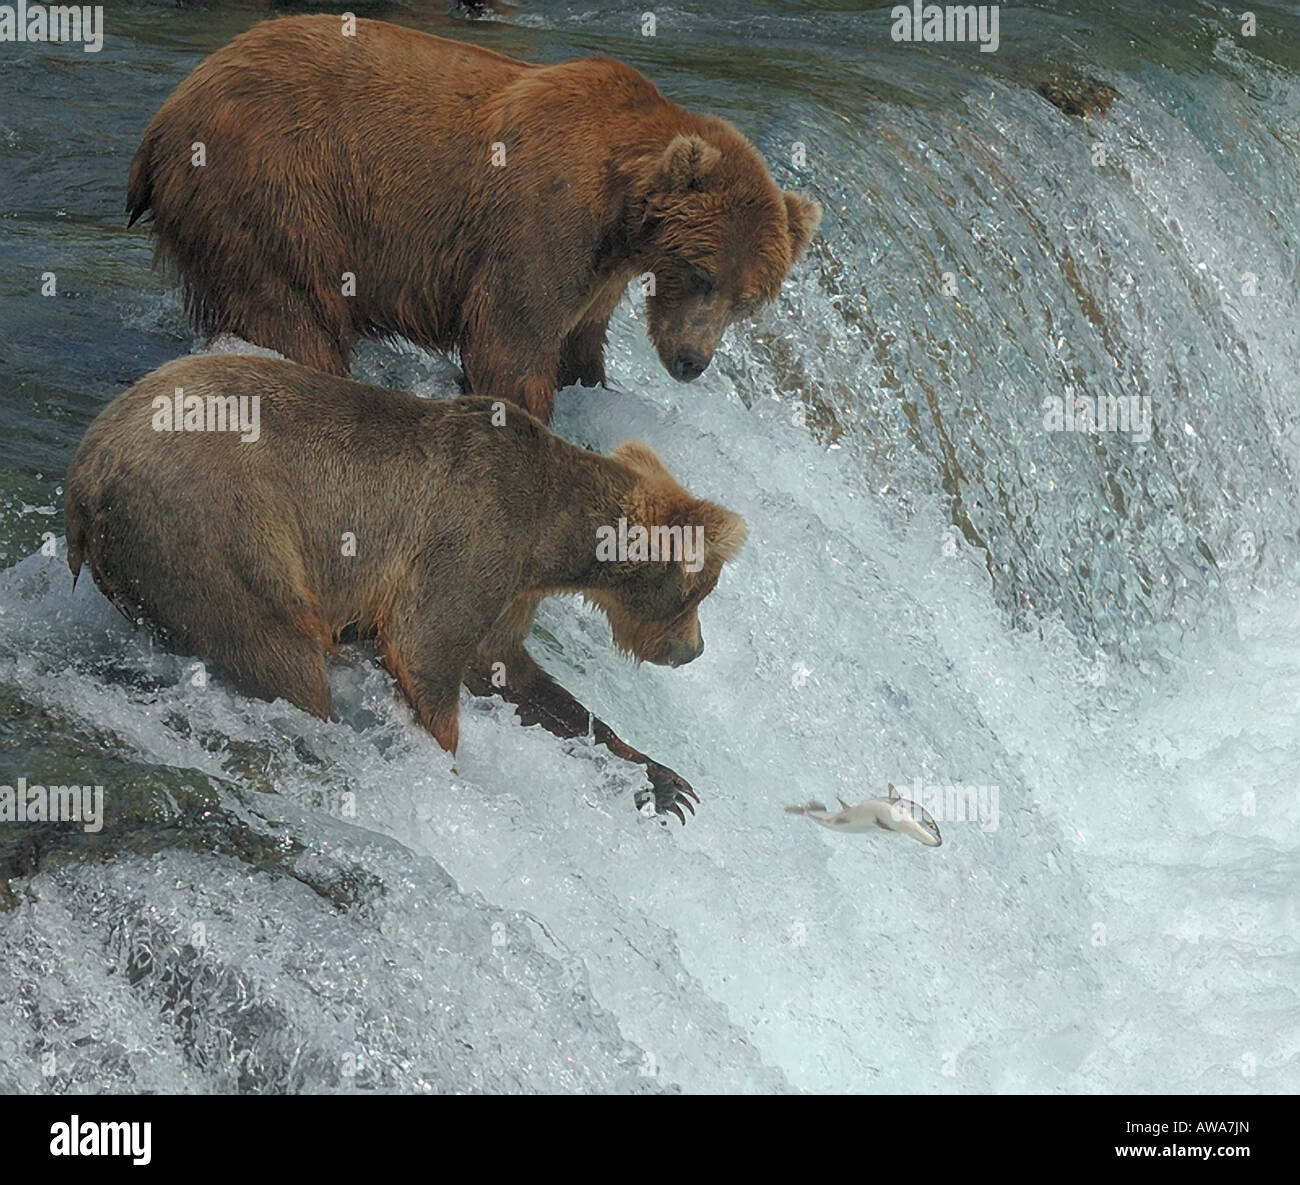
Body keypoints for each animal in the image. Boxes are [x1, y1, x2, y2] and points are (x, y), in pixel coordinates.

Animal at [64, 355, 746, 822]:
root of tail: (85, 474)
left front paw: (663, 783)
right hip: (223, 532)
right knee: (282, 653)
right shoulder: (474, 539)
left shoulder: (510, 587)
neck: (551, 536)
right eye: (702, 590)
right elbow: (427, 652)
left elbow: (510, 674)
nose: (694, 650)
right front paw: (444, 765)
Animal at [125, 15, 821, 422]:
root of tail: (165, 115)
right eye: (702, 273)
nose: (691, 361)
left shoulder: (602, 274)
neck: (623, 212)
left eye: (748, 300)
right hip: (273, 185)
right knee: (296, 315)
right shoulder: (546, 222)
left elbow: (578, 346)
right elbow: (509, 345)